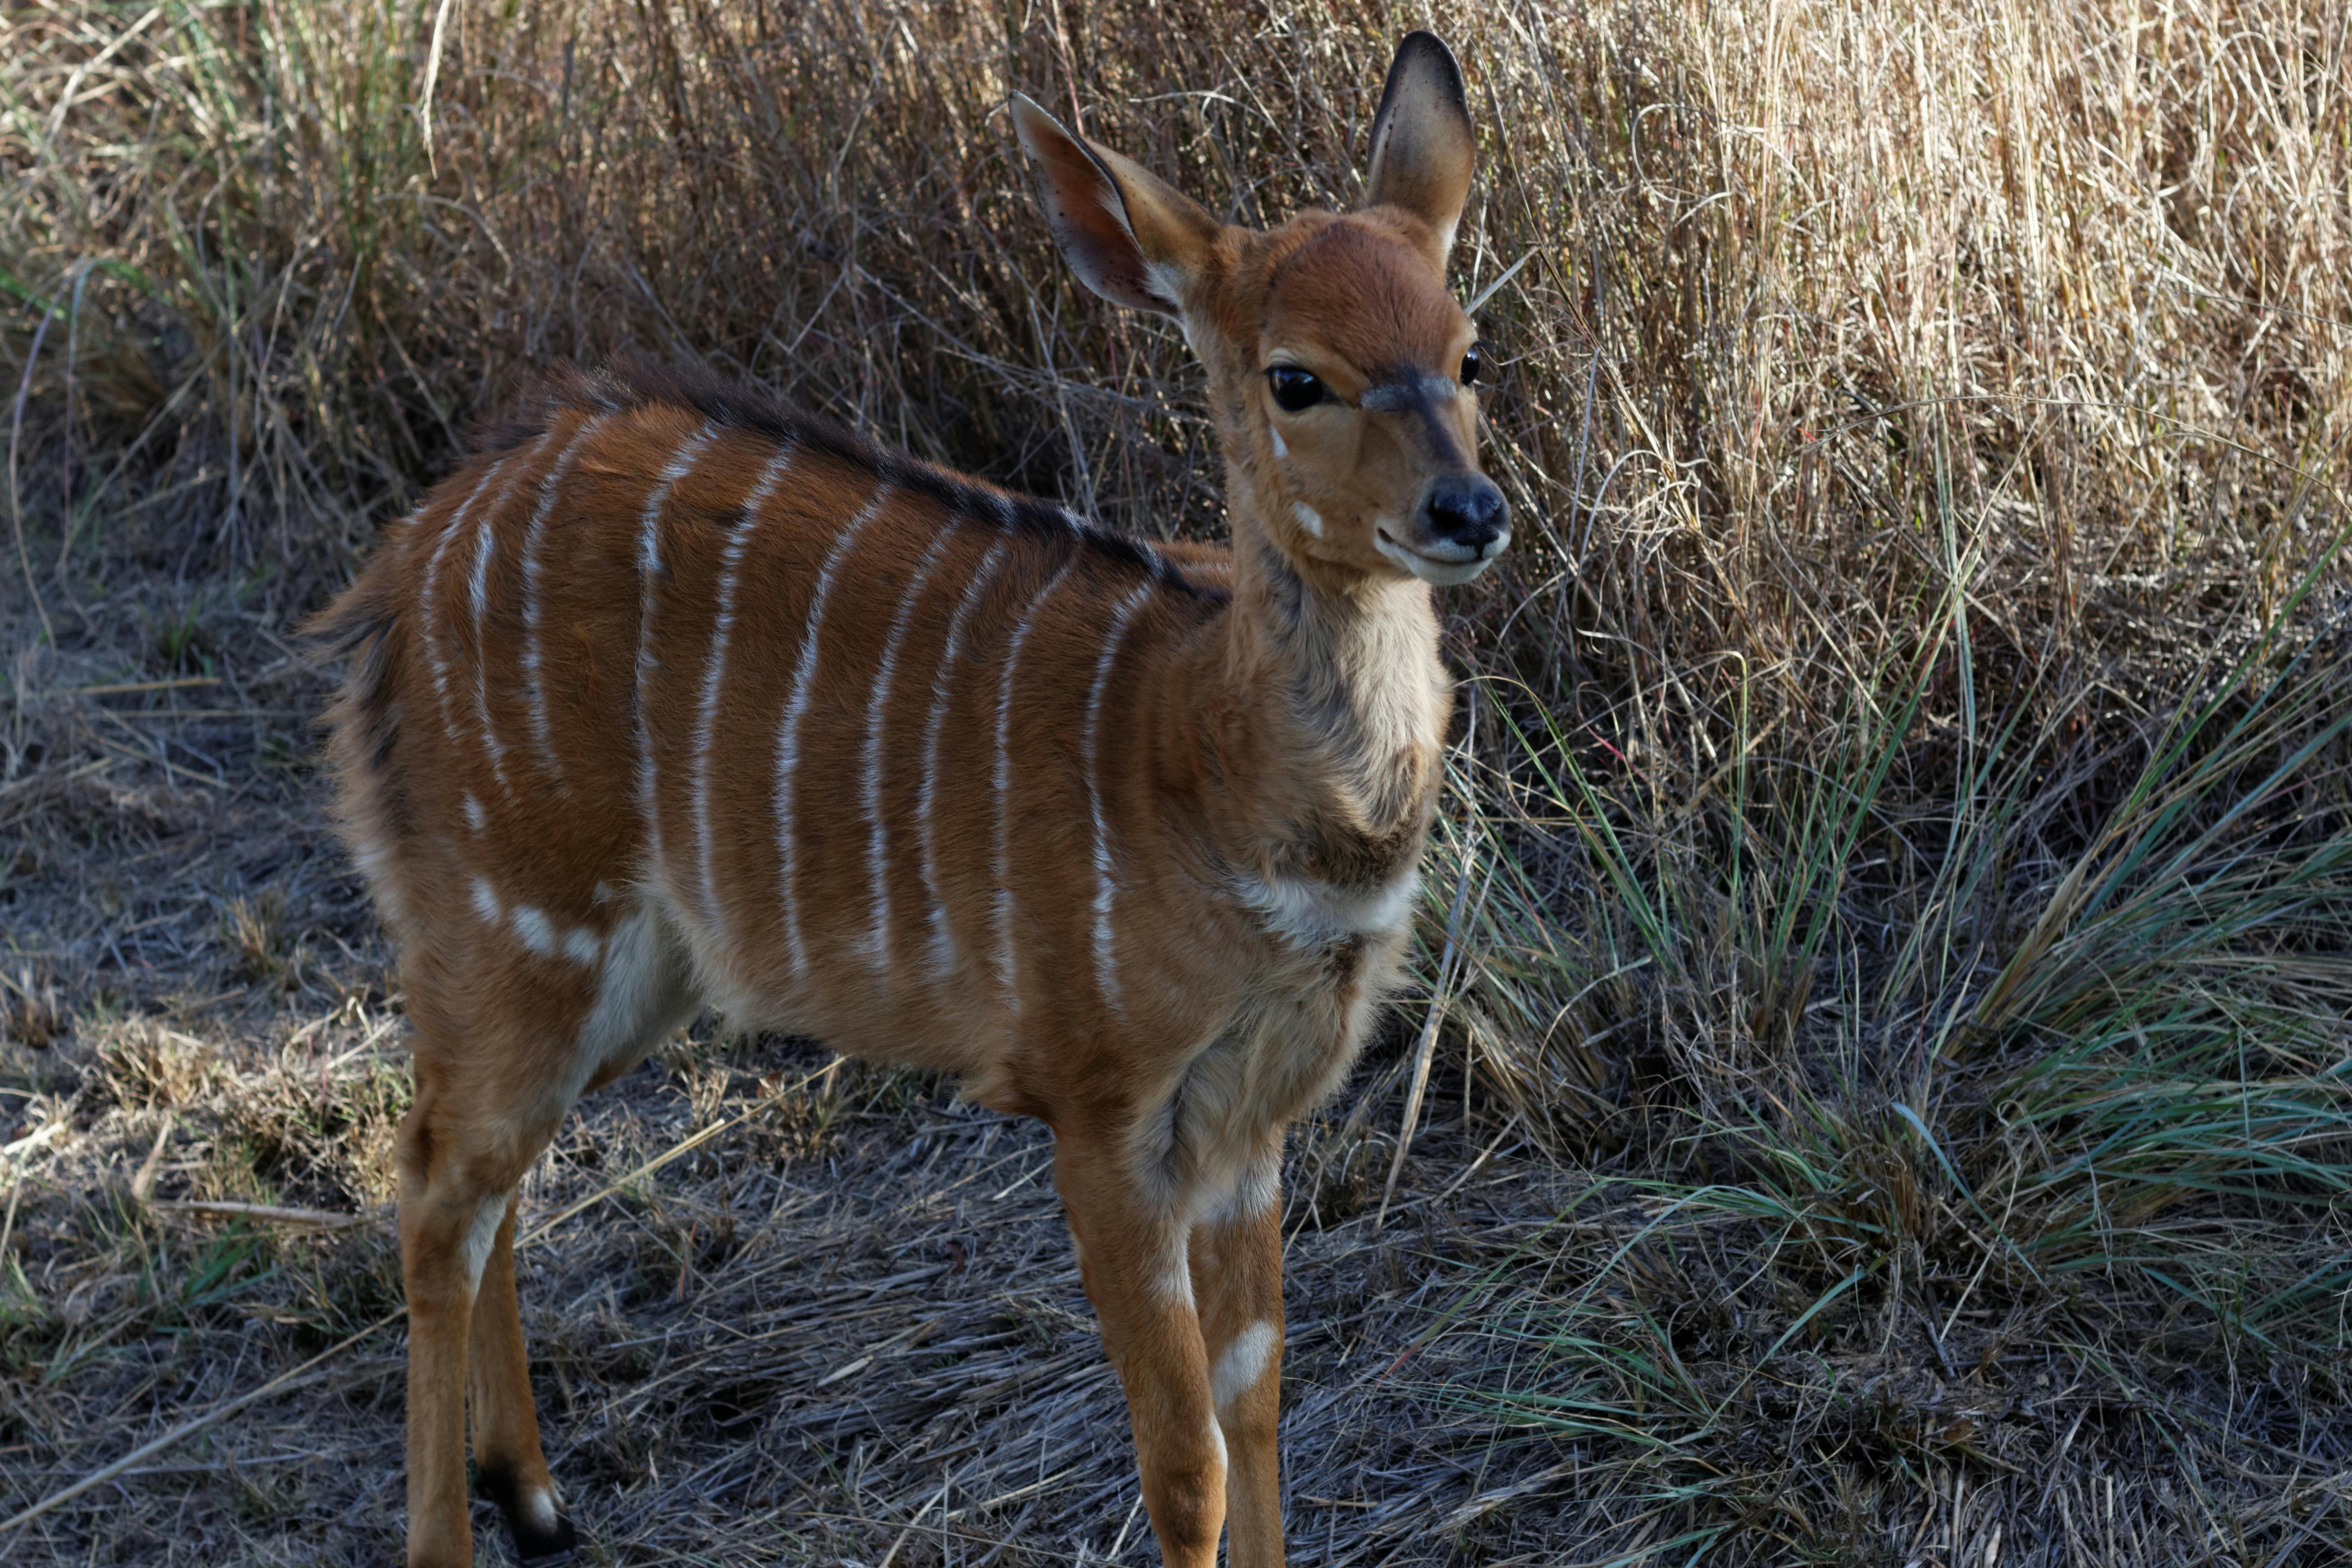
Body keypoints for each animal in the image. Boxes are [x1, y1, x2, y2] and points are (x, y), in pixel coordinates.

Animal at [314, 31, 1507, 1568]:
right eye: (1295, 377)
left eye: (1464, 352)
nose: (1465, 511)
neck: (1211, 762)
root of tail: (403, 569)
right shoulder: (1099, 1107)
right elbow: (1184, 1459)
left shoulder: (1249, 1124)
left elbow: (1259, 1403)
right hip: (514, 918)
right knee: (428, 1190)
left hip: (622, 978)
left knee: (485, 1180)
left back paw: (536, 1495)